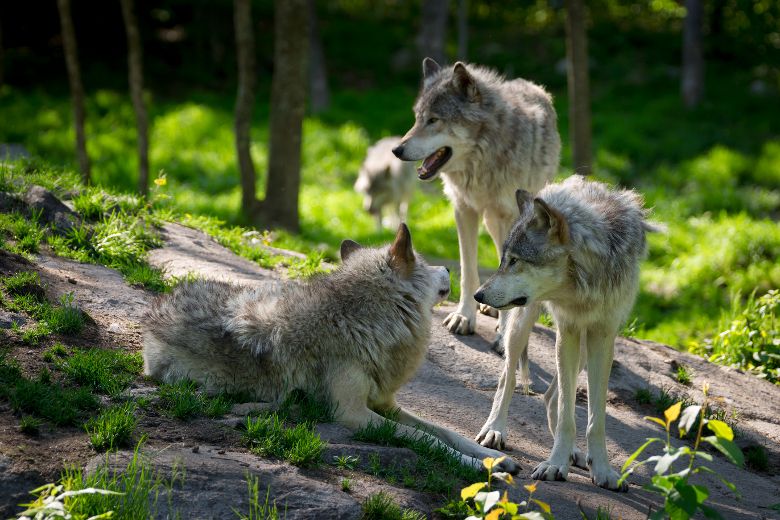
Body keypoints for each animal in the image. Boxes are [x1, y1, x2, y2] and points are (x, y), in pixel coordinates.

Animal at [143, 224, 519, 473]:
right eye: (424, 262)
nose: (448, 268)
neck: (361, 320)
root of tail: (158, 306)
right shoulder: (353, 414)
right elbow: (429, 440)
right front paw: (483, 468)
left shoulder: (386, 404)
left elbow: (449, 432)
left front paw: (497, 458)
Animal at [393, 58, 561, 353]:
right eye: (417, 118)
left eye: (434, 120)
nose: (397, 150)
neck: (482, 163)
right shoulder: (464, 210)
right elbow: (468, 270)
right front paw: (464, 316)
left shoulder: (509, 218)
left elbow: (508, 268)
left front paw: (503, 335)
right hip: (491, 222)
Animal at [473, 176, 661, 491]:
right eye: (504, 260)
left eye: (515, 261)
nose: (478, 295)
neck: (584, 281)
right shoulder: (568, 329)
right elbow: (566, 415)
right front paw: (554, 464)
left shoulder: (602, 335)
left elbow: (595, 418)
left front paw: (603, 470)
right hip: (522, 326)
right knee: (508, 378)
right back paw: (494, 430)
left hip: (583, 348)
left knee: (551, 397)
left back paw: (575, 453)